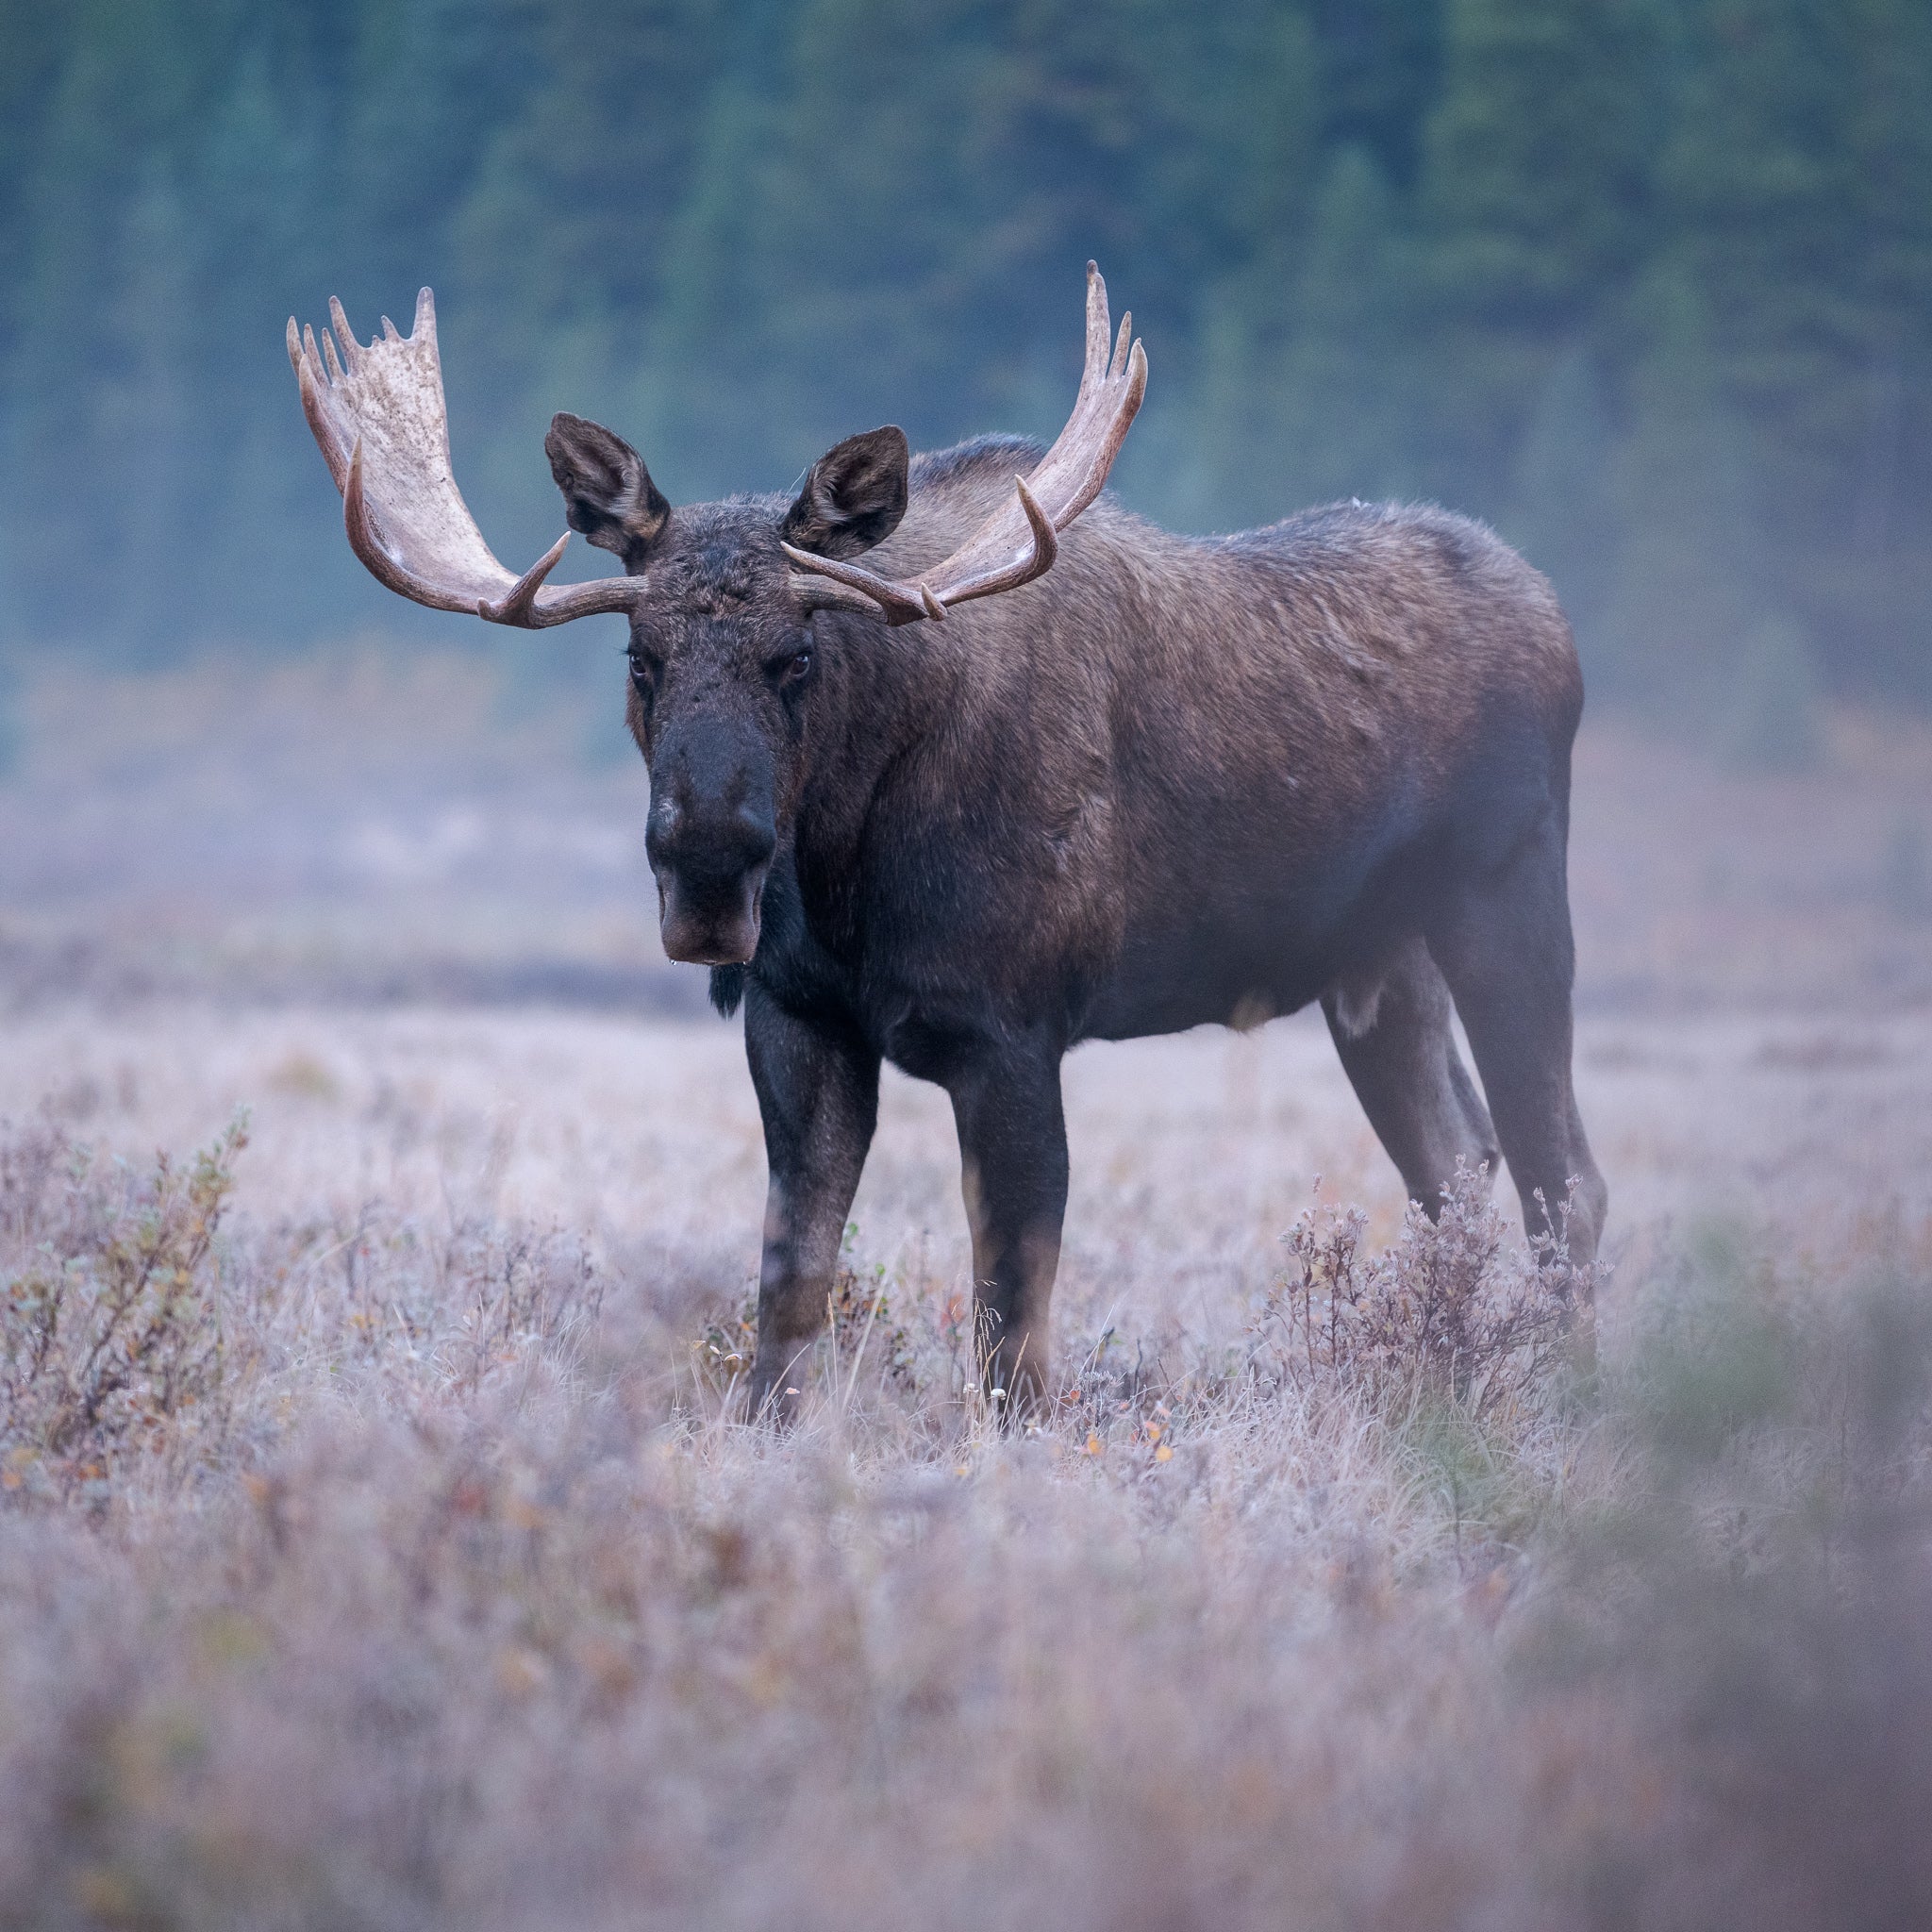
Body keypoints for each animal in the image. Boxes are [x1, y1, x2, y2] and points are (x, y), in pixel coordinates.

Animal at [289, 265, 1607, 1423]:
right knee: (1455, 1168)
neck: (846, 868)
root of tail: (1557, 617)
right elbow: (791, 1288)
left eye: (797, 654)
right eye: (639, 657)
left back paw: (1567, 1407)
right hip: (1374, 966)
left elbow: (1008, 1328)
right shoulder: (799, 1019)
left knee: (1565, 1185)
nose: (708, 866)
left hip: (1508, 902)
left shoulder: (1013, 1033)